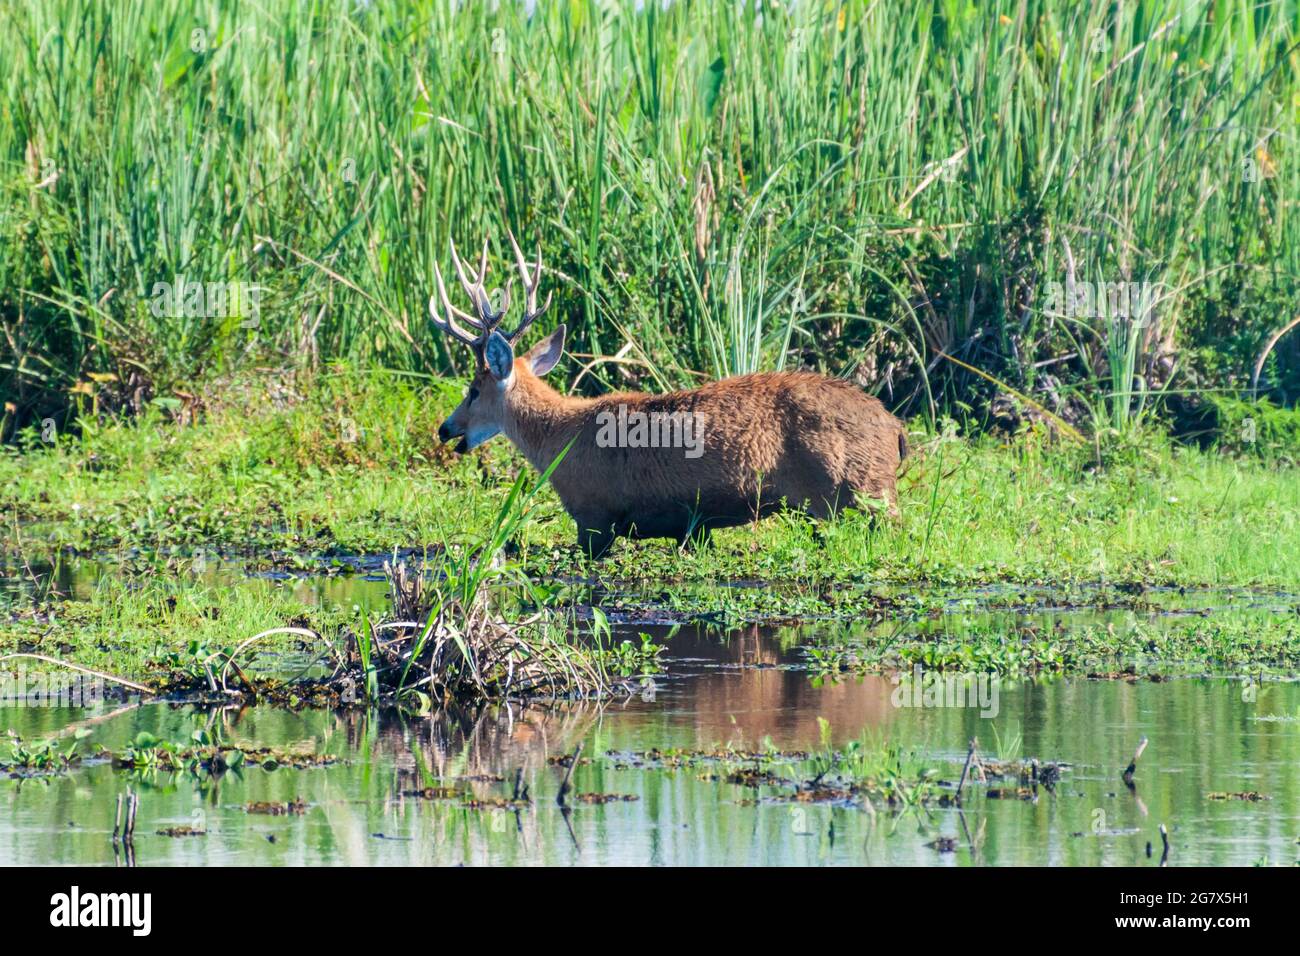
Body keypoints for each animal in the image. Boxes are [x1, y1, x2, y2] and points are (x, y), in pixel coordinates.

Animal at [431, 233, 908, 559]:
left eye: (473, 390)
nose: (445, 428)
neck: (559, 438)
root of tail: (896, 428)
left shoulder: (594, 516)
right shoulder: (693, 527)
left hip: (859, 493)